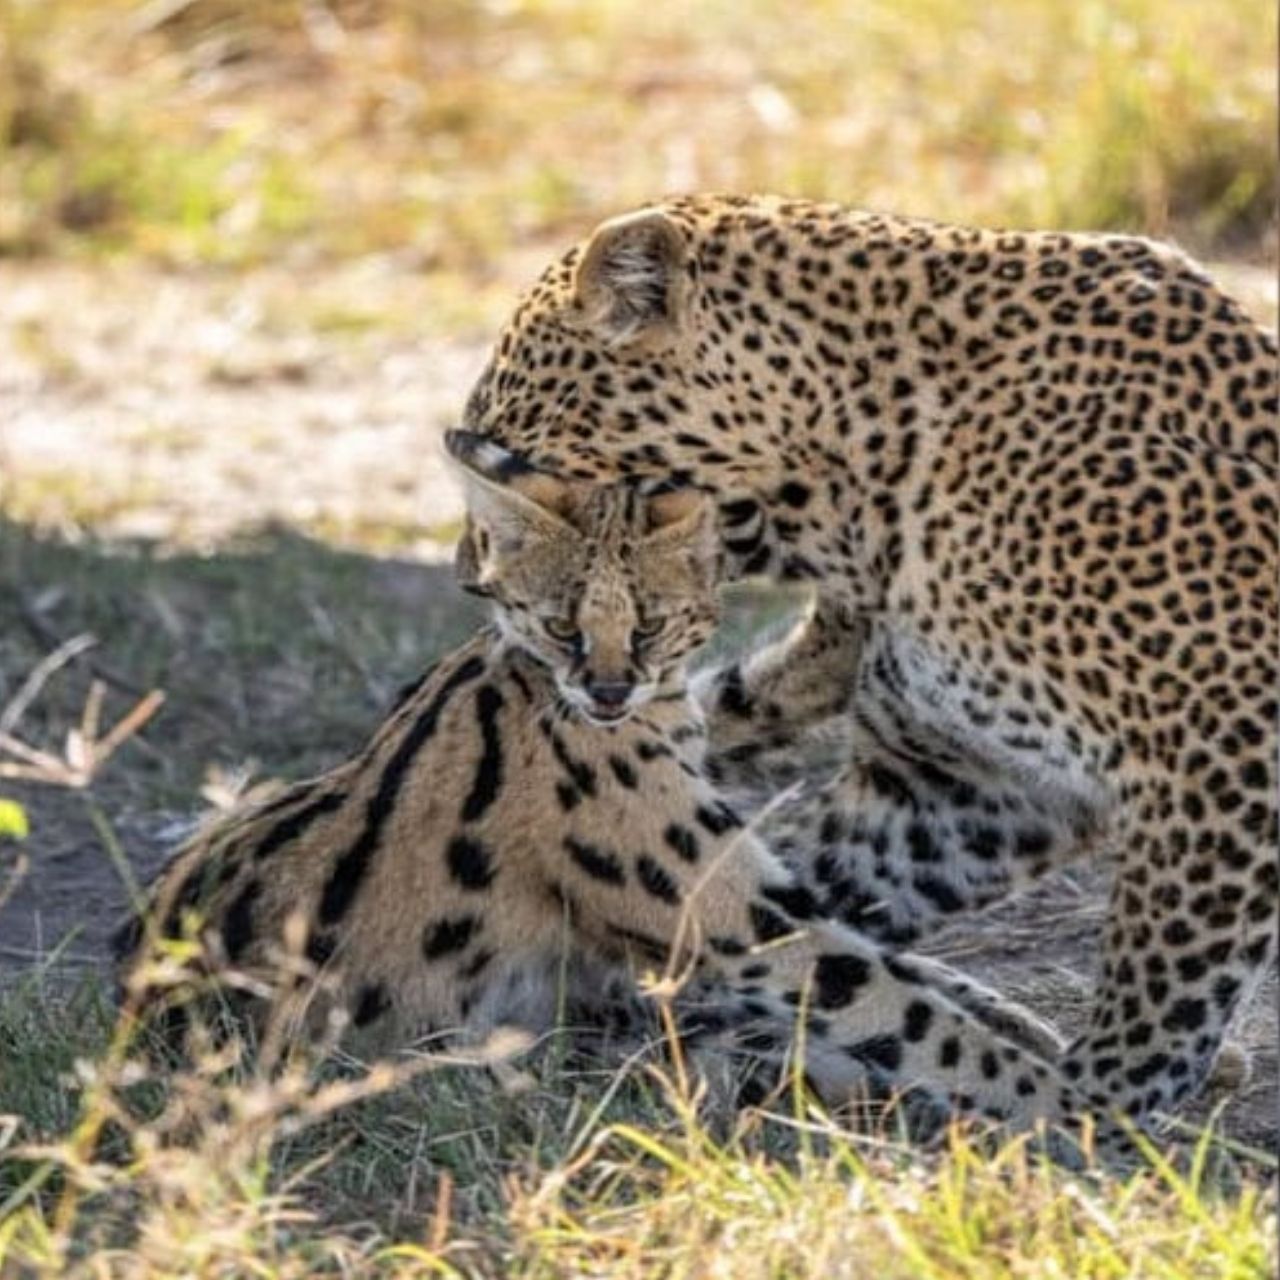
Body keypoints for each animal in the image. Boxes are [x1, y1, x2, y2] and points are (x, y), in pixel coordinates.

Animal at [117, 432, 1100, 1143]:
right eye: (564, 624)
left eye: (652, 622)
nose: (606, 689)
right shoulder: (736, 925)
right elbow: (916, 1019)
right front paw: (1078, 1110)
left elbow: (733, 696)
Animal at [451, 193, 1278, 1129]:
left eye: (510, 452)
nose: (469, 577)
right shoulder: (973, 783)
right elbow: (799, 891)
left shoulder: (1217, 750)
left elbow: (1159, 990)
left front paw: (1087, 1117)